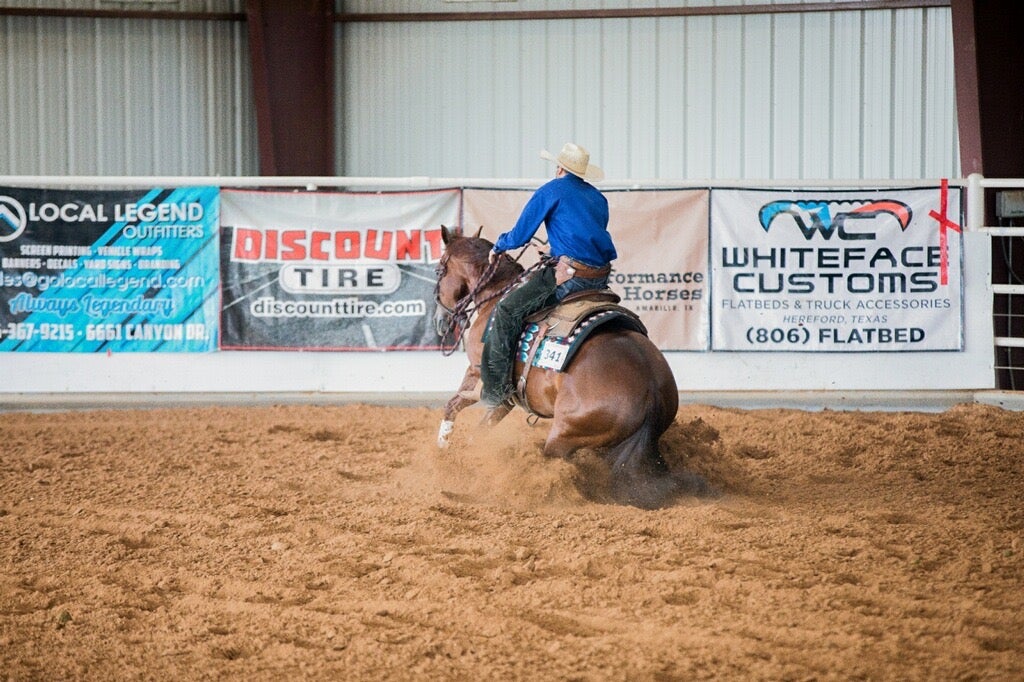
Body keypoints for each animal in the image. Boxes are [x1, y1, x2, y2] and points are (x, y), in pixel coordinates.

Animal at [433, 226, 694, 509]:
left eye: (439, 271)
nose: (439, 320)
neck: (497, 294)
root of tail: (651, 393)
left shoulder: (486, 378)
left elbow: (469, 417)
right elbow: (458, 408)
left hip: (565, 435)